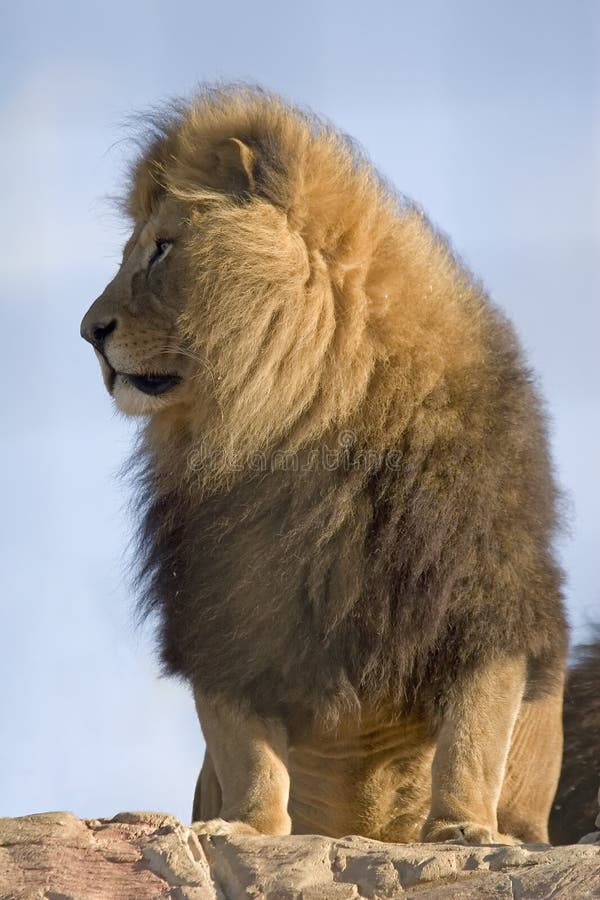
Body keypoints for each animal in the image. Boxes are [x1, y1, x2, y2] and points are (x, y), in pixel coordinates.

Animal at [81, 84, 568, 845]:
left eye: (162, 250)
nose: (89, 331)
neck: (306, 424)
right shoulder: (223, 610)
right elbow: (246, 748)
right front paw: (248, 829)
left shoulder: (484, 589)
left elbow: (474, 731)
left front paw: (461, 828)